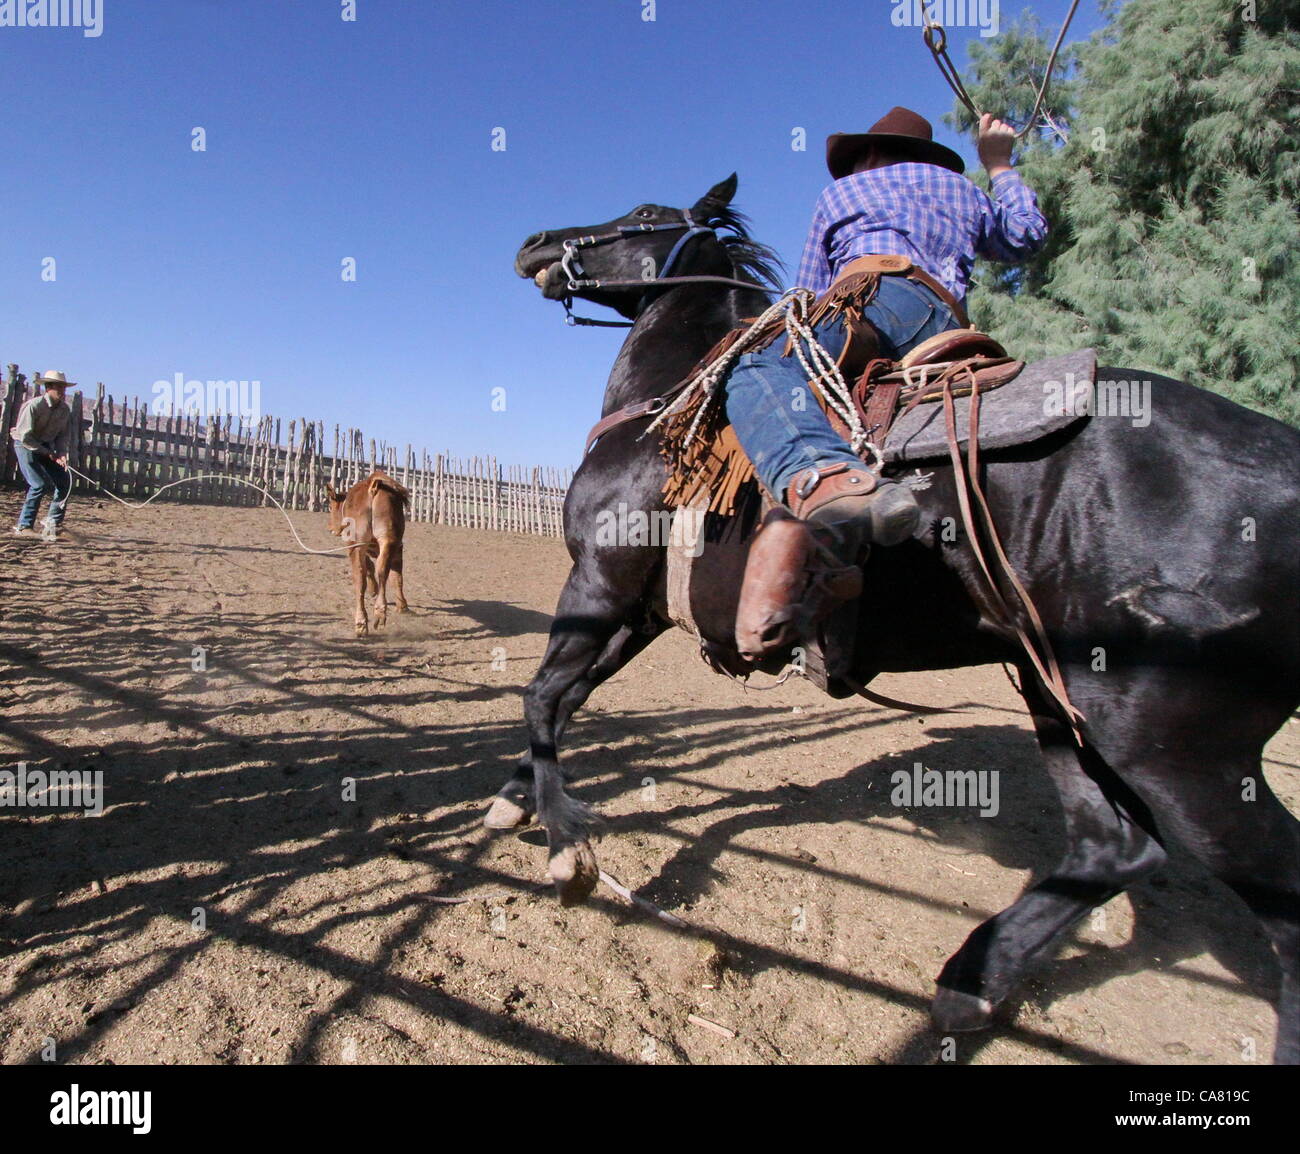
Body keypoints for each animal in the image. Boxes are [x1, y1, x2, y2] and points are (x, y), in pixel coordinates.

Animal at [324, 470, 410, 635]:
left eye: (330, 508)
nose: (329, 528)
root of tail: (373, 488)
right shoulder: (397, 548)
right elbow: (396, 577)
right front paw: (402, 605)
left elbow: (371, 568)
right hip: (388, 540)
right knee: (383, 571)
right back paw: (379, 613)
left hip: (356, 544)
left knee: (359, 578)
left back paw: (361, 623)